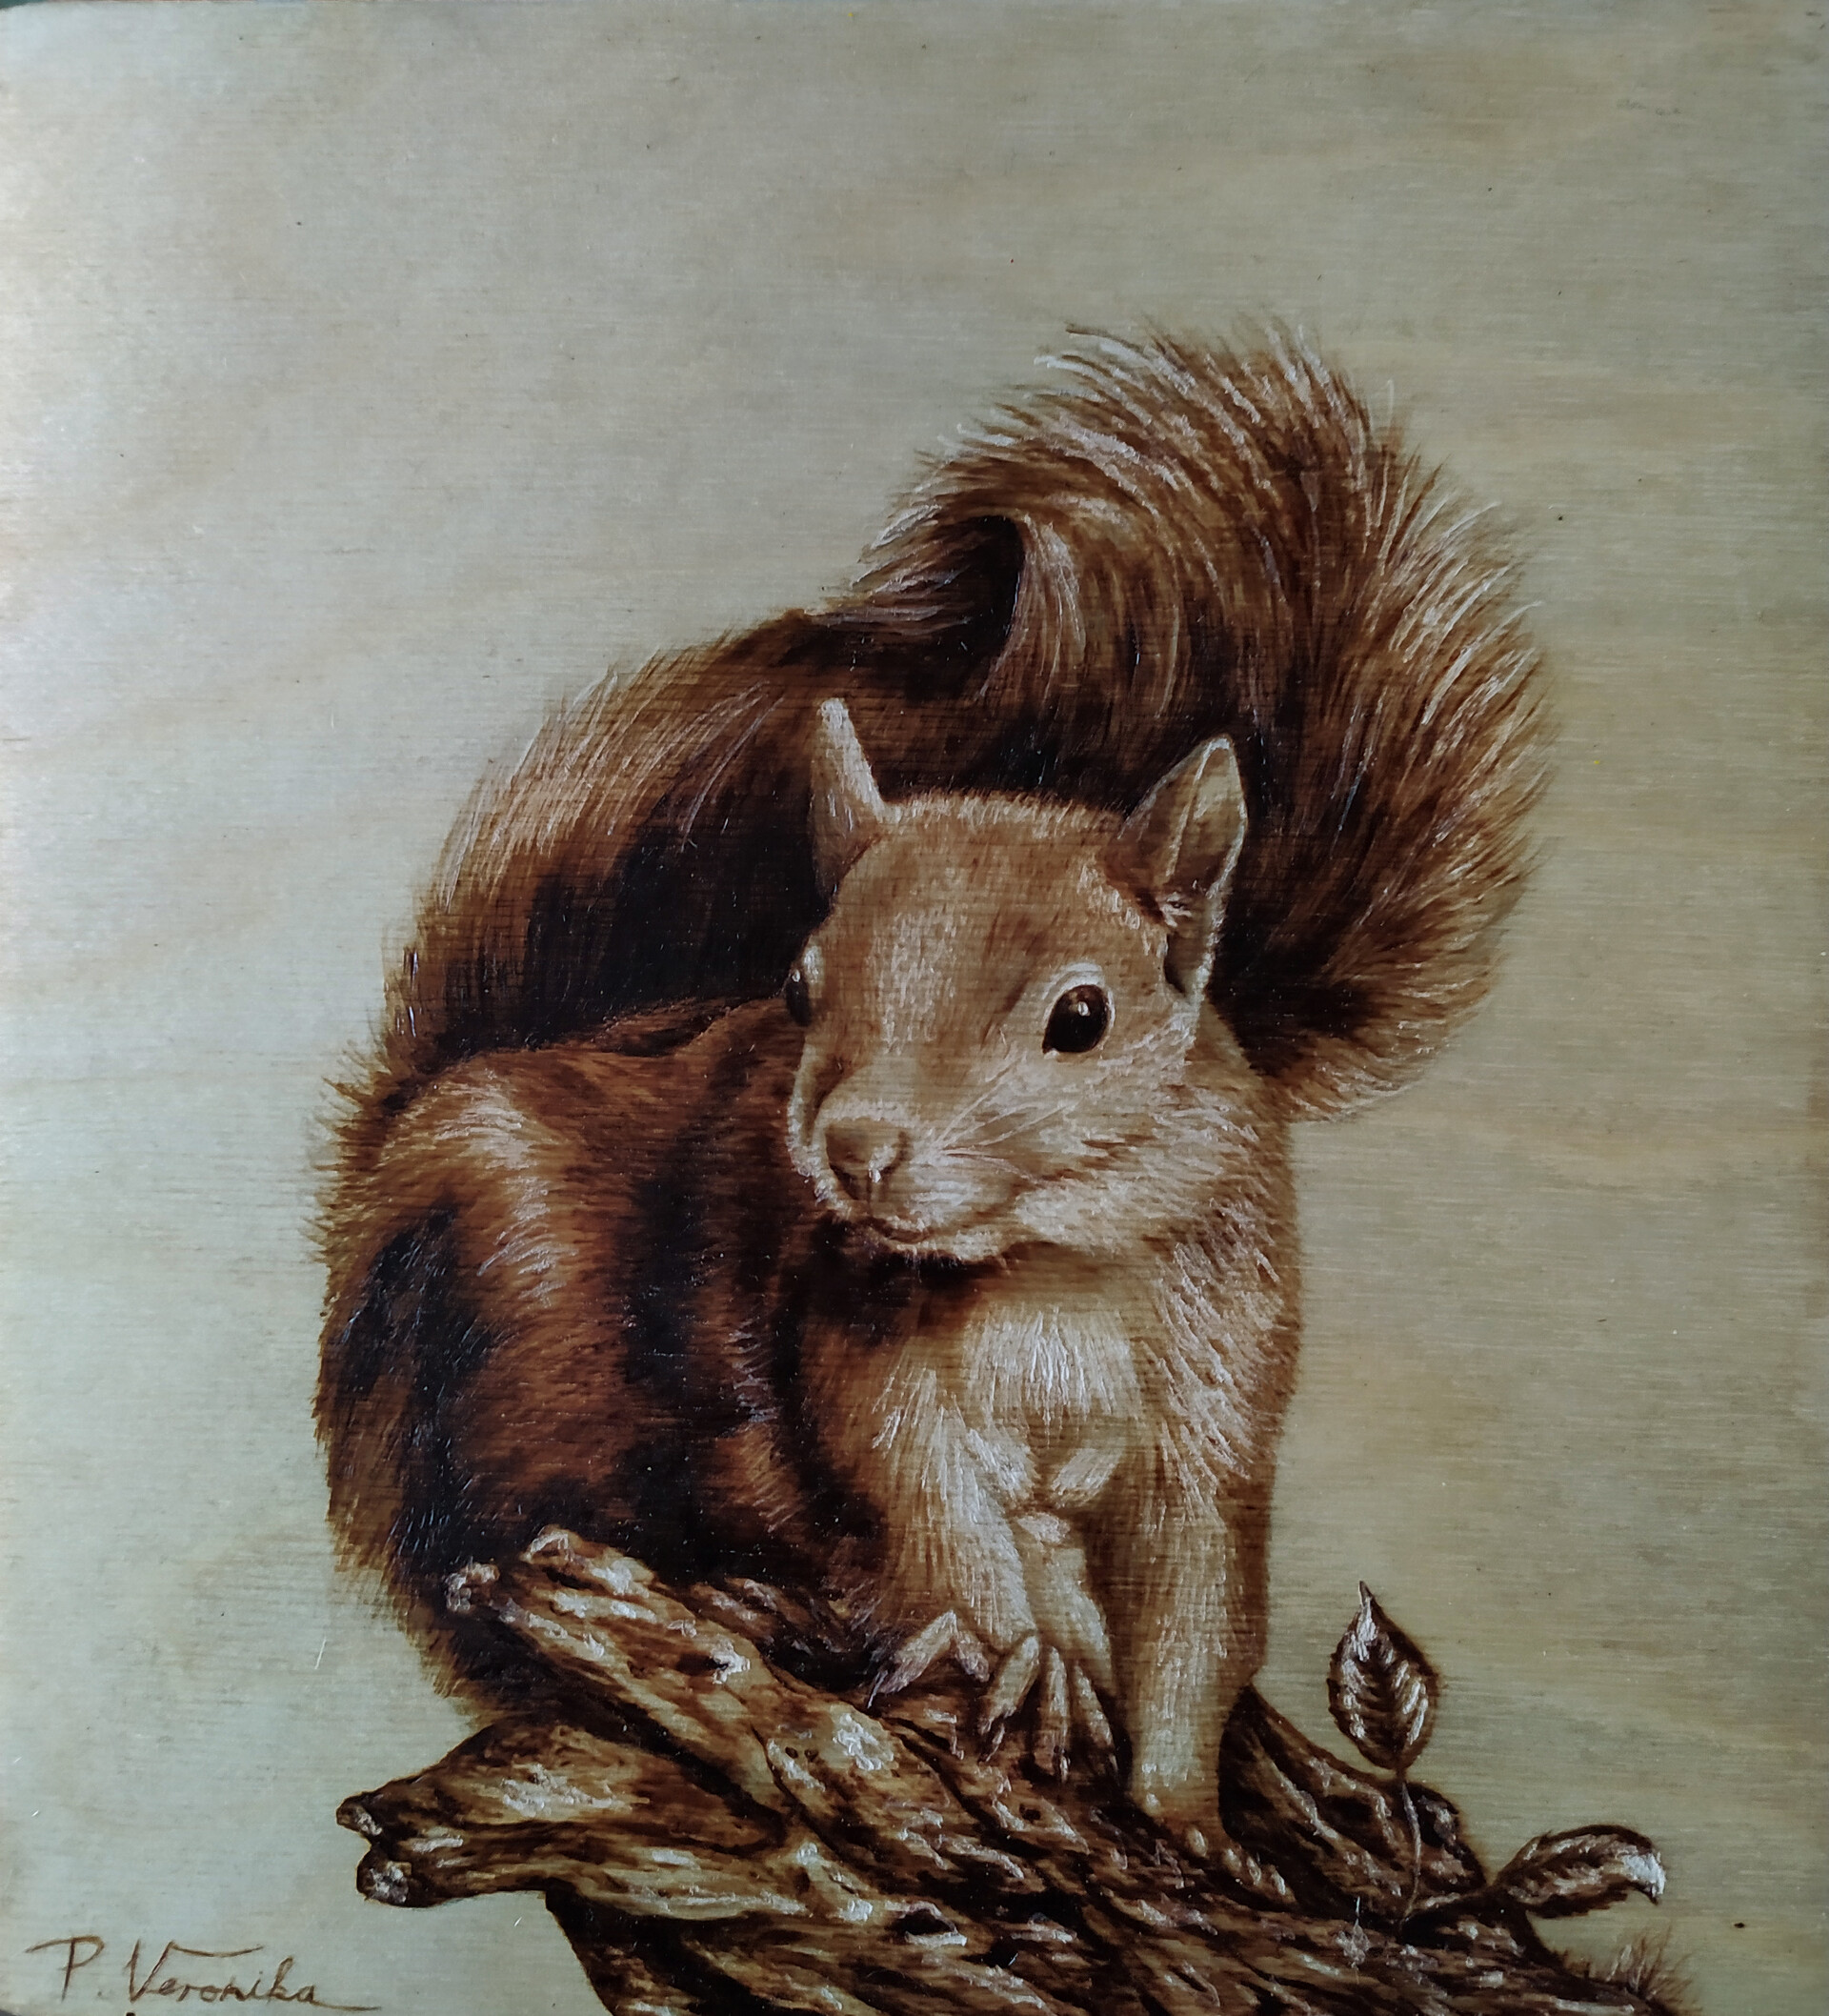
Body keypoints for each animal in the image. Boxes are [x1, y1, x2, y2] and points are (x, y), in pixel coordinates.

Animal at [316, 333, 1547, 1851]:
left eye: (1082, 1016)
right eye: (798, 987)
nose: (855, 1149)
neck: (1042, 1265)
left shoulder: (1211, 1395)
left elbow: (1198, 1607)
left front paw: (1184, 1808)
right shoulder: (856, 1368)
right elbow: (928, 1523)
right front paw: (1025, 1662)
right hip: (490, 1312)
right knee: (484, 1564)